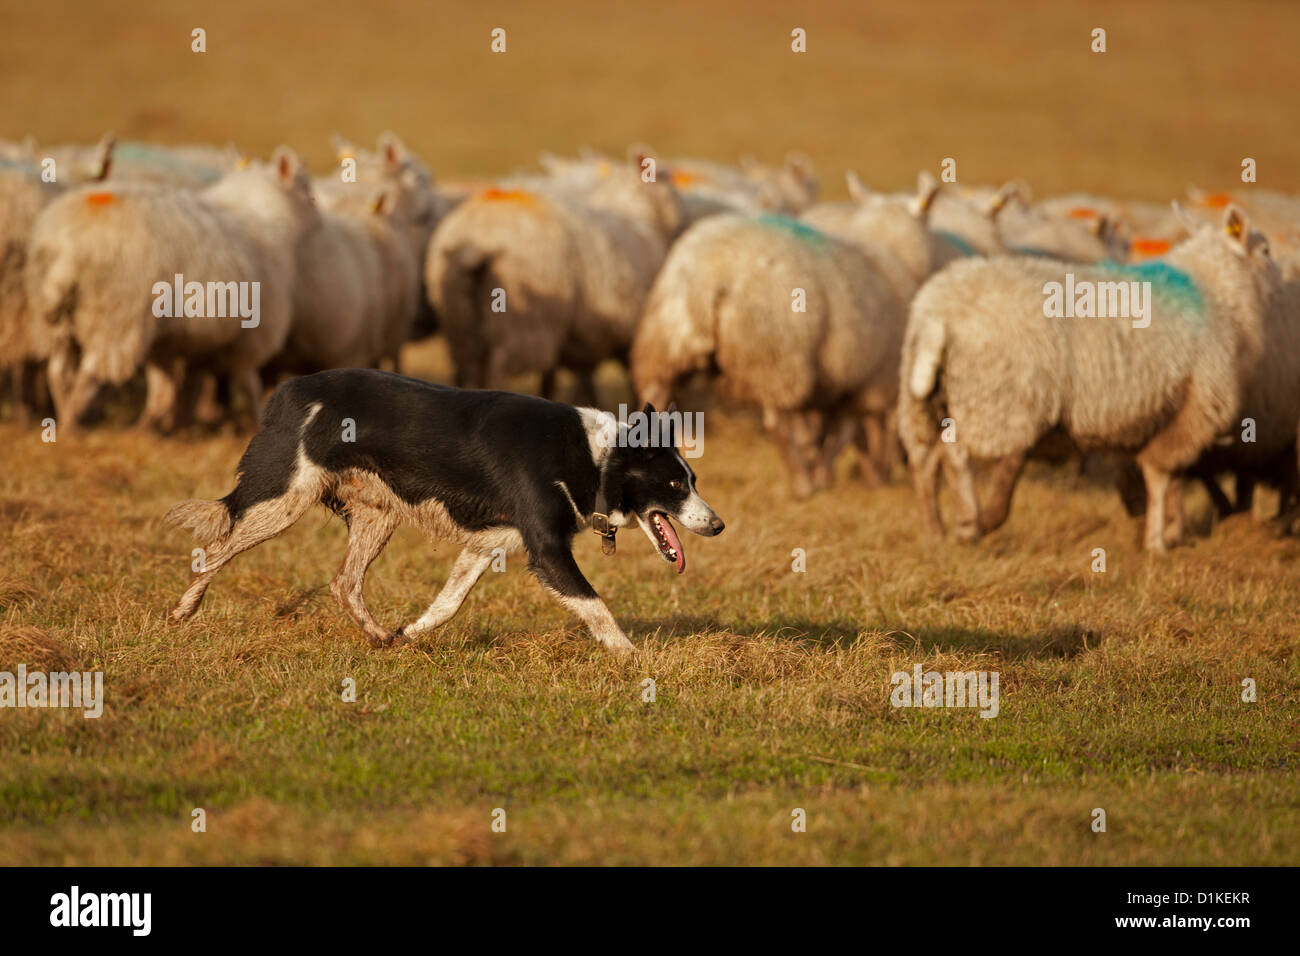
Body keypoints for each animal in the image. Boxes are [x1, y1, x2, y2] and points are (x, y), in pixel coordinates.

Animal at [24, 147, 319, 429]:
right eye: (305, 187)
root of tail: (65, 249)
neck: (266, 217)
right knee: (91, 373)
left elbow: (178, 383)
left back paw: (65, 416)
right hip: (116, 316)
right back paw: (72, 423)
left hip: (59, 324)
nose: (319, 219)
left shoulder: (183, 340)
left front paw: (170, 421)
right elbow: (249, 385)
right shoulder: (252, 337)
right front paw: (258, 418)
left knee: (57, 371)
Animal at [426, 160, 682, 403]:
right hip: (522, 326)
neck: (638, 213)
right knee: (498, 369)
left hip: (461, 326)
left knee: (469, 369)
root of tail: (473, 246)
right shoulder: (627, 337)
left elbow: (556, 380)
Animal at [631, 172, 947, 497]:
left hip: (665, 345)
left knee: (659, 397)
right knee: (776, 425)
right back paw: (803, 483)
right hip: (775, 356)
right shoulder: (866, 382)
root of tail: (713, 273)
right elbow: (845, 432)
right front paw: (829, 474)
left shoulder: (835, 384)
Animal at [898, 205, 1280, 551]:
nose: (1281, 282)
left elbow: (1166, 481)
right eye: (1265, 250)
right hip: (991, 398)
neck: (1217, 294)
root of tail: (939, 313)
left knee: (925, 459)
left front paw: (1172, 532)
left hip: (925, 397)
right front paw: (1157, 542)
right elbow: (1160, 476)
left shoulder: (1157, 416)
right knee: (955, 456)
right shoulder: (1193, 410)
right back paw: (968, 524)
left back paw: (935, 534)